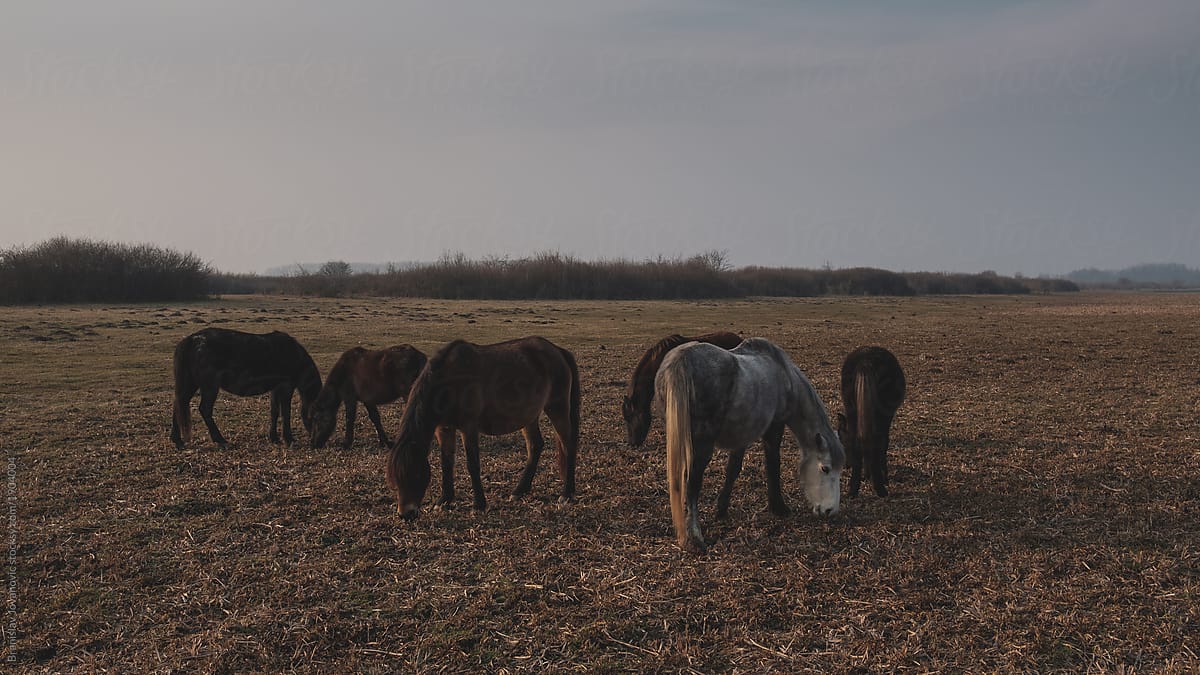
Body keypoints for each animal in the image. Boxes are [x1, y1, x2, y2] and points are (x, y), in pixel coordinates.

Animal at [170, 328, 322, 450]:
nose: (317, 442)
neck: (293, 355)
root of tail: (191, 340)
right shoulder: (286, 387)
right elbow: (286, 413)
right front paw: (288, 439)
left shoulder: (276, 388)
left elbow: (274, 412)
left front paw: (274, 438)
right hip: (210, 387)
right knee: (204, 409)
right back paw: (220, 440)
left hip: (190, 384)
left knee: (179, 404)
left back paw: (178, 441)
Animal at [386, 336, 581, 520]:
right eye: (396, 479)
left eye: (416, 474)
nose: (405, 514)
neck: (450, 382)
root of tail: (557, 350)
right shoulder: (444, 428)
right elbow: (446, 463)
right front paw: (444, 500)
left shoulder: (469, 427)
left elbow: (472, 464)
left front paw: (478, 504)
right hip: (529, 416)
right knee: (535, 446)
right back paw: (519, 491)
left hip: (557, 408)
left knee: (568, 446)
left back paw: (566, 494)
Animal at [655, 338, 844, 554]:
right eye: (825, 468)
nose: (830, 510)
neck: (783, 374)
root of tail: (681, 360)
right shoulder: (774, 427)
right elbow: (773, 465)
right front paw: (778, 507)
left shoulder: (742, 435)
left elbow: (733, 470)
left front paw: (722, 509)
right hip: (702, 446)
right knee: (692, 485)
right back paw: (695, 537)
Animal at [837, 346, 906, 498]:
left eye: (841, 440)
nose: (846, 465)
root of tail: (866, 361)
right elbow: (884, 443)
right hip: (882, 415)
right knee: (876, 442)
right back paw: (880, 488)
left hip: (853, 411)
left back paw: (853, 490)